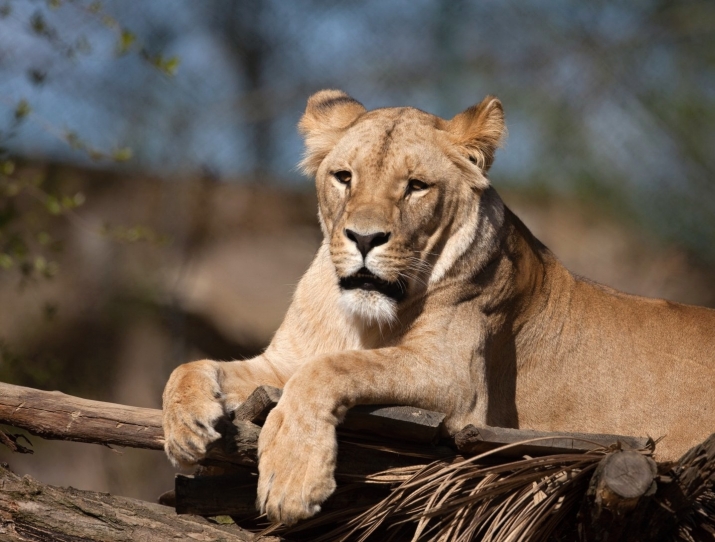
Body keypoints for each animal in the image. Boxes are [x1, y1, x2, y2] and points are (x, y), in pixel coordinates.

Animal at [162, 89, 715, 525]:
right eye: (344, 177)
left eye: (416, 186)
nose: (364, 238)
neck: (363, 320)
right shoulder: (282, 361)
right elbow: (190, 365)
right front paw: (185, 428)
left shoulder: (458, 382)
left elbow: (330, 369)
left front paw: (293, 479)